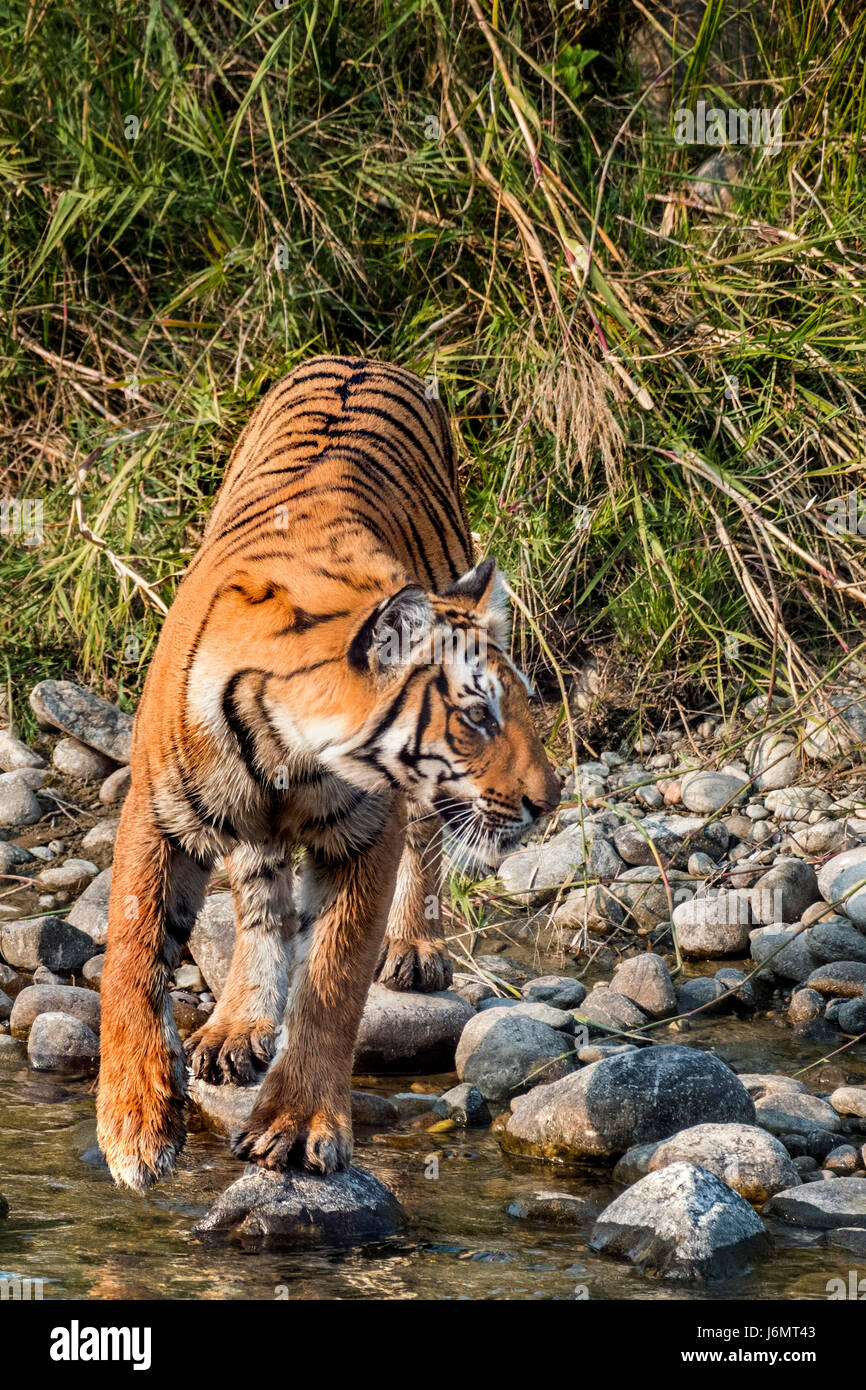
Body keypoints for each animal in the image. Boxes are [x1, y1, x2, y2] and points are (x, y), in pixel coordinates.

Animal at [96, 355, 560, 1192]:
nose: (552, 800)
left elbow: (334, 979)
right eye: (476, 715)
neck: (285, 750)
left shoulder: (368, 834)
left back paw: (414, 950)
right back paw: (236, 1025)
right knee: (257, 901)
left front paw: (299, 1125)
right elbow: (132, 958)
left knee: (426, 849)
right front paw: (134, 1127)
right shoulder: (156, 817)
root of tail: (359, 358)